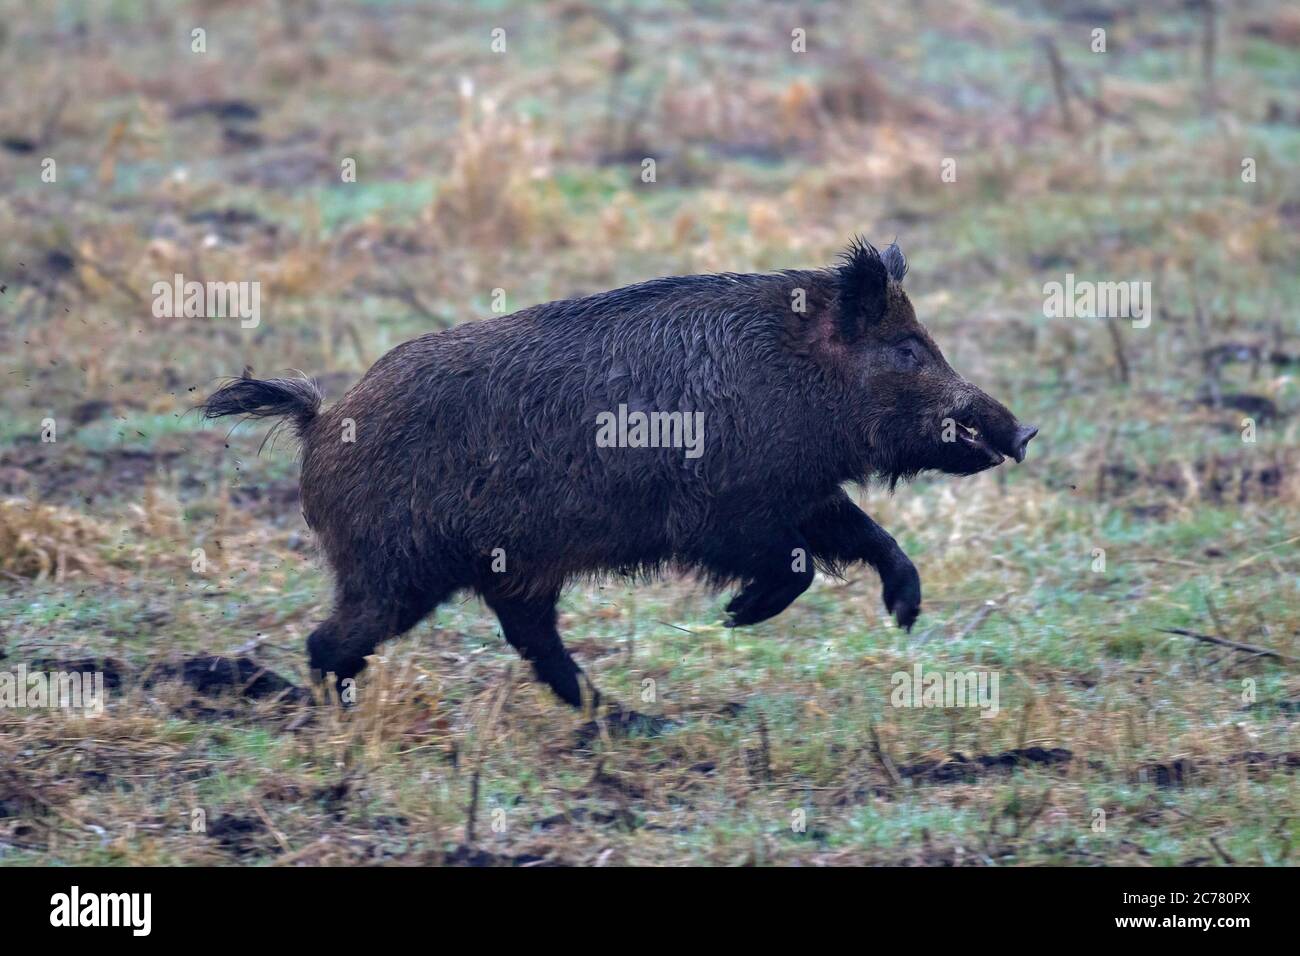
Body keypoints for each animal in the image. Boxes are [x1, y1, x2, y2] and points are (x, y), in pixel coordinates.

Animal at [201, 239, 1037, 718]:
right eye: (907, 349)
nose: (1023, 431)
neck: (796, 376)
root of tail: (319, 422)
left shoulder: (801, 492)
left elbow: (865, 534)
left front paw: (905, 613)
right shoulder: (718, 513)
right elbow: (797, 562)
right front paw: (737, 617)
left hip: (505, 573)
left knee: (535, 644)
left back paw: (630, 721)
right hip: (396, 572)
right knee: (329, 641)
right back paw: (336, 716)